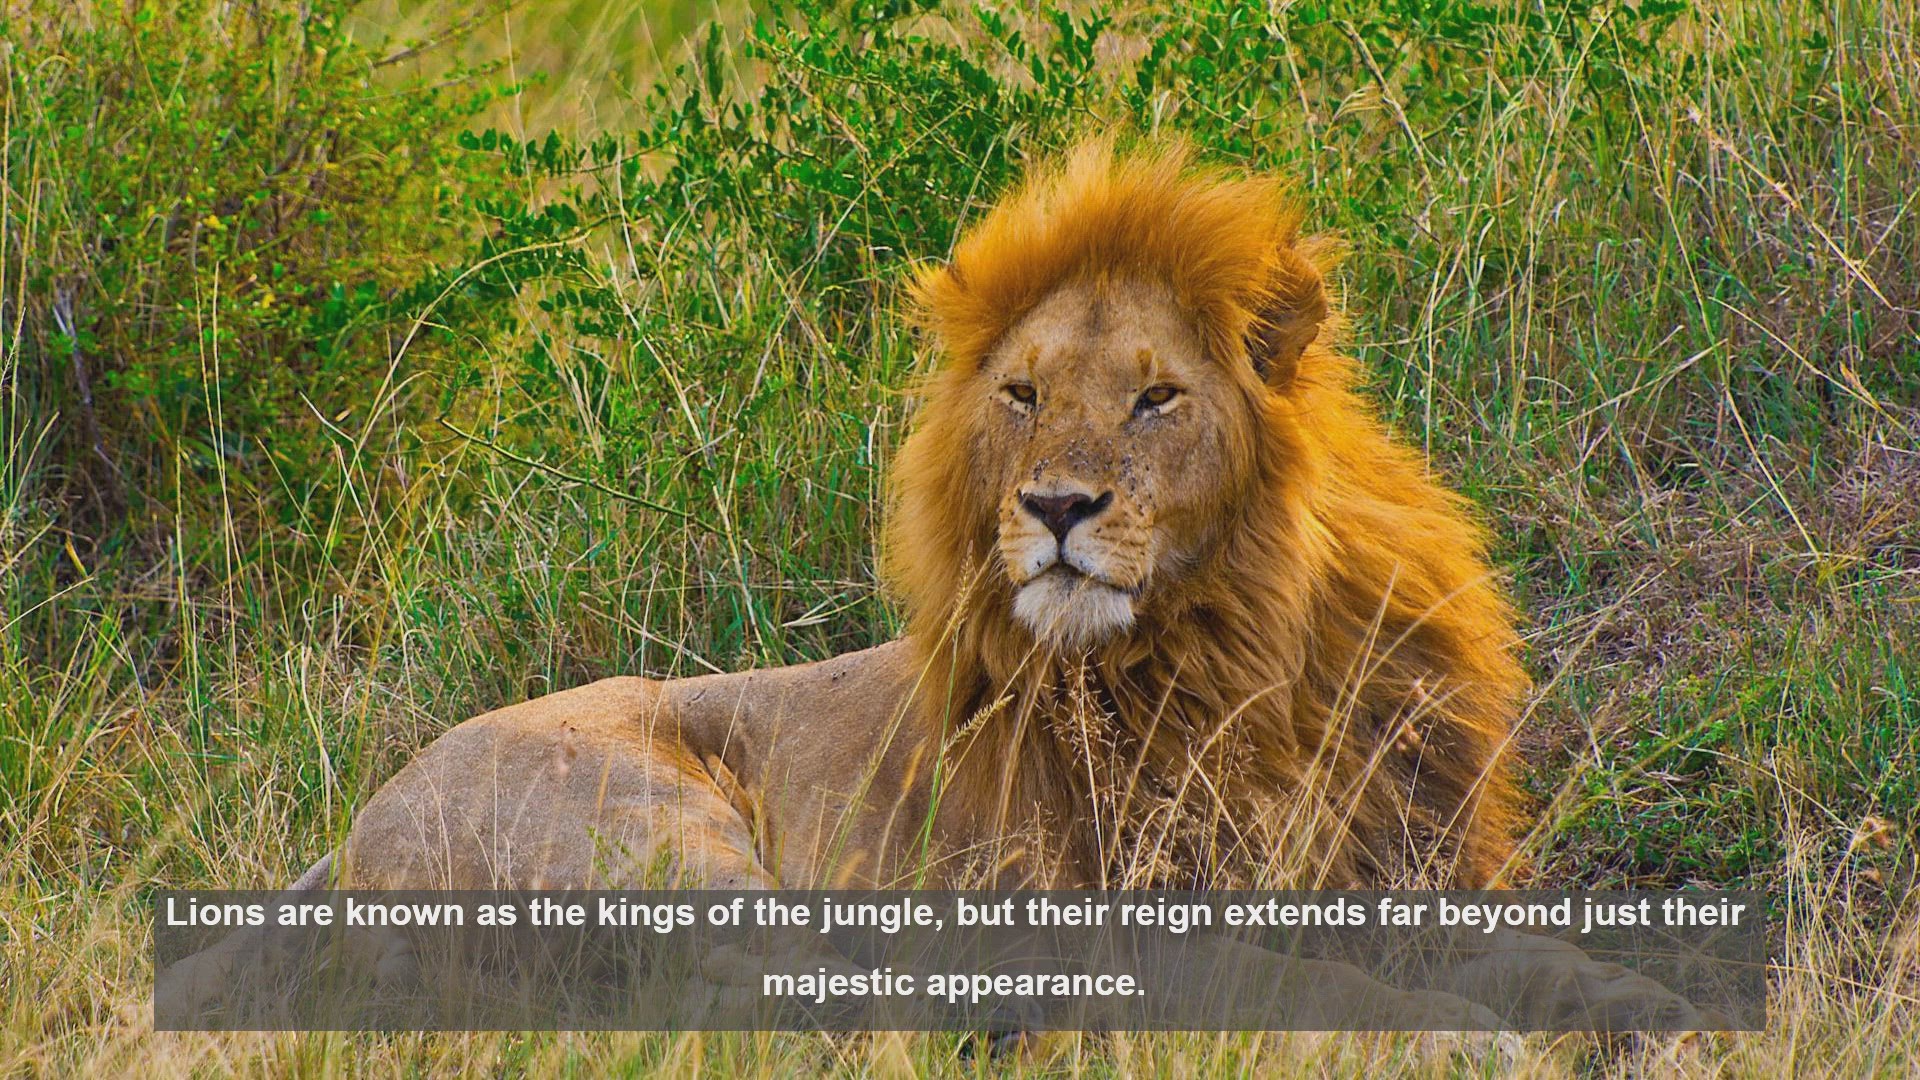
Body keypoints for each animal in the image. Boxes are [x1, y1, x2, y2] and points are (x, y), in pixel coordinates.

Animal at [159, 138, 1712, 1032]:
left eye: (1154, 398)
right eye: (1022, 396)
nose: (1057, 509)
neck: (1238, 652)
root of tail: (359, 817)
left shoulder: (1393, 857)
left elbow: (1537, 957)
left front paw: (1652, 1003)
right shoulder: (1106, 908)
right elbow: (1296, 979)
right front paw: (1449, 1037)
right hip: (633, 830)